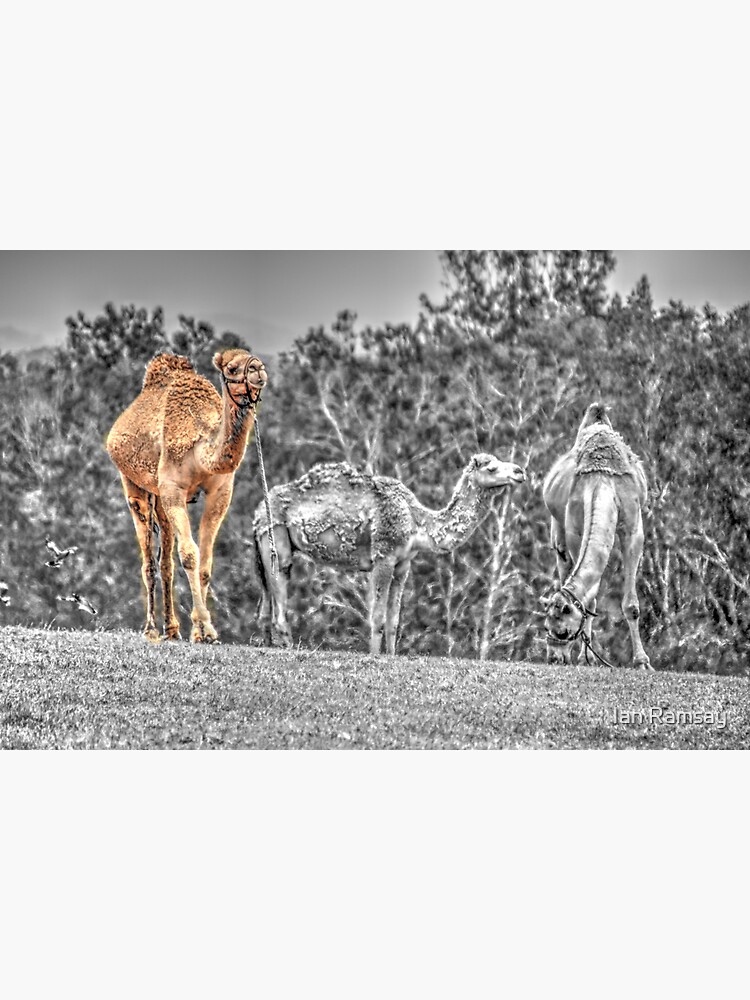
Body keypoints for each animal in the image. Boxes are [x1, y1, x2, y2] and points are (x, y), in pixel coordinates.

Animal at [106, 349, 267, 643]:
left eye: (255, 360)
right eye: (232, 368)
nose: (258, 370)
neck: (200, 443)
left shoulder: (220, 492)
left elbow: (205, 563)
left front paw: (198, 630)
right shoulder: (173, 488)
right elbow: (190, 555)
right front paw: (205, 627)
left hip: (159, 497)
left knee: (165, 560)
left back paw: (172, 629)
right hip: (133, 484)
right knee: (148, 560)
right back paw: (151, 629)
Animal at [252, 454, 526, 654]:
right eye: (492, 468)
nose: (520, 472)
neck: (417, 522)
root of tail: (257, 513)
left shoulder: (403, 563)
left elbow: (393, 621)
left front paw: (391, 656)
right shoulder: (383, 557)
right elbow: (377, 618)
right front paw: (375, 656)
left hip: (264, 553)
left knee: (265, 608)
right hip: (276, 540)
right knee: (279, 607)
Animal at [542, 402, 652, 668]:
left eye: (563, 631)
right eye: (545, 626)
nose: (554, 657)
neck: (602, 480)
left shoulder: (633, 528)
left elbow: (631, 605)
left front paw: (642, 661)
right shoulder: (574, 530)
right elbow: (590, 600)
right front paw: (587, 657)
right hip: (557, 527)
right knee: (562, 560)